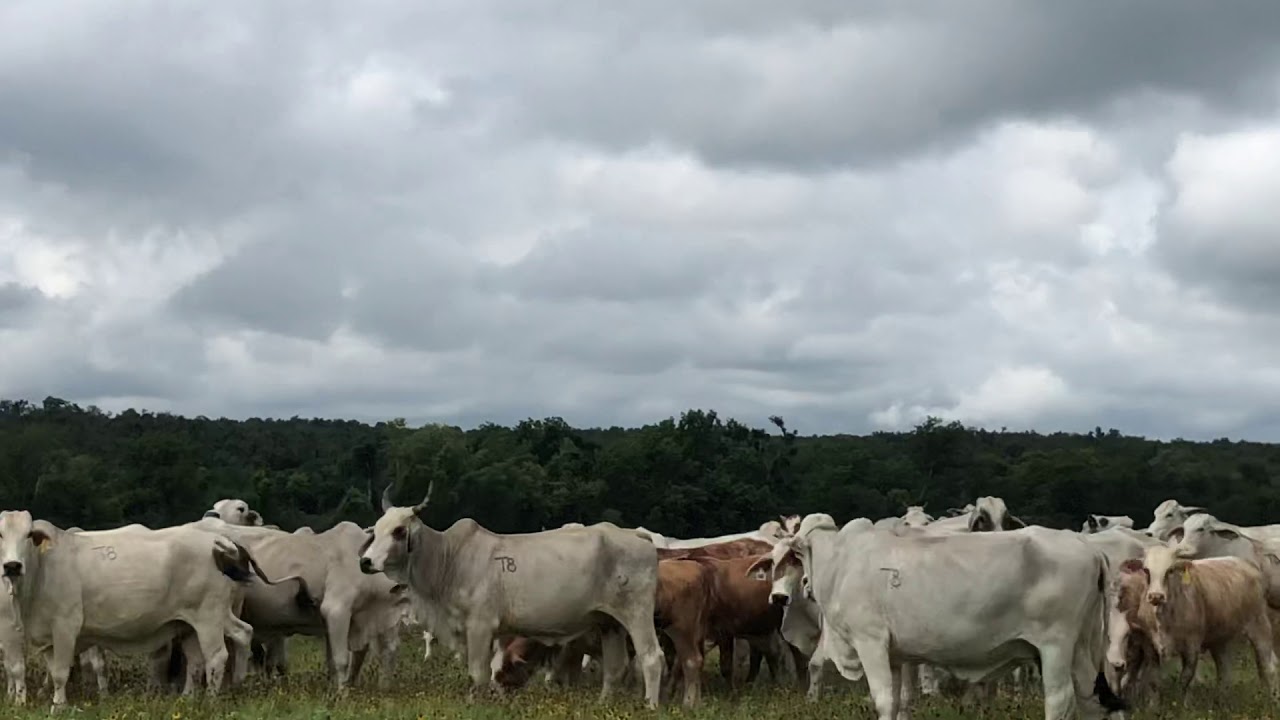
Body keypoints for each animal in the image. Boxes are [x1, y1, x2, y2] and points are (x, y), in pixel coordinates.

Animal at [0, 511, 262, 710]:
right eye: (0, 534)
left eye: (28, 535)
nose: (12, 566)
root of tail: (215, 540)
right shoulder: (47, 636)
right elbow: (52, 670)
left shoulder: (65, 626)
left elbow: (60, 672)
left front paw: (57, 707)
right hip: (194, 622)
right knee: (226, 643)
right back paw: (205, 693)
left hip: (210, 616)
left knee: (217, 656)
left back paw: (211, 701)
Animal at [358, 483, 667, 708]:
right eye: (377, 528)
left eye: (399, 531)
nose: (365, 562)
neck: (450, 559)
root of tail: (637, 535)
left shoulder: (480, 626)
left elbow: (478, 672)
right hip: (609, 622)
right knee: (615, 666)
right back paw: (604, 704)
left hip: (636, 614)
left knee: (652, 657)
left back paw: (651, 706)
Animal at [748, 514, 1127, 720]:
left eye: (795, 556)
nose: (805, 588)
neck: (840, 561)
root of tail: (1090, 550)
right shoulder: (896, 656)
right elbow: (899, 702)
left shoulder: (871, 643)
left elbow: (883, 700)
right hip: (1082, 647)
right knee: (1093, 700)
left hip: (1055, 646)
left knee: (1061, 700)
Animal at [1108, 546, 1279, 700]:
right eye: (1146, 570)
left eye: (1170, 570)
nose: (1156, 596)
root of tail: (1246, 563)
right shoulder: (1150, 647)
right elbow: (1153, 681)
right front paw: (1152, 707)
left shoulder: (1192, 646)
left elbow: (1185, 680)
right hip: (1220, 639)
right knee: (1224, 672)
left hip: (1259, 625)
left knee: (1267, 667)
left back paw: (1271, 699)